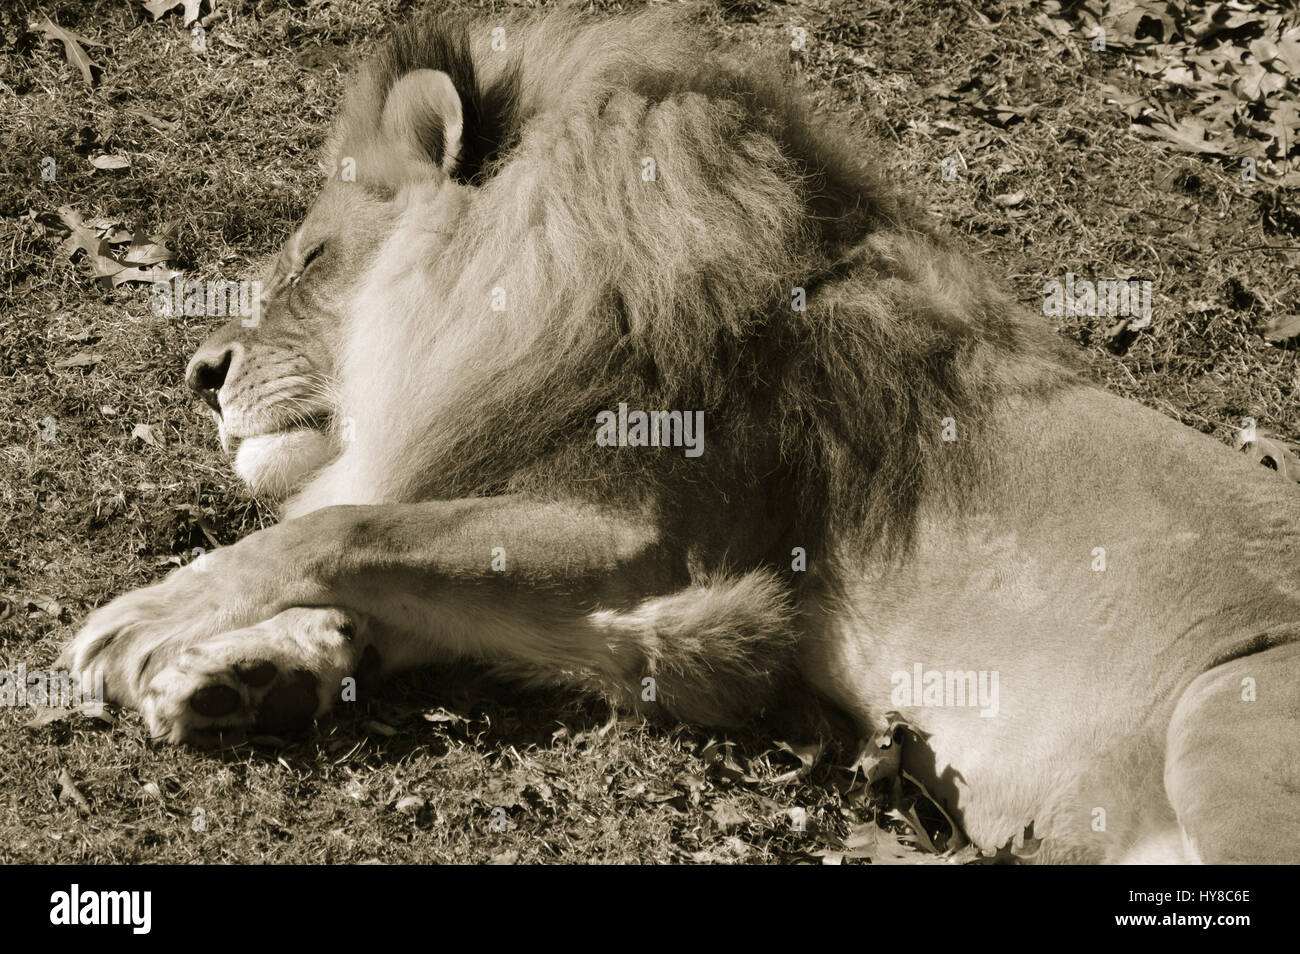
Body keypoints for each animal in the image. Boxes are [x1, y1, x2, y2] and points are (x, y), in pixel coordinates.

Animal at [59, 7, 1300, 864]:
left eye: (314, 258)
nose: (198, 374)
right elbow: (385, 588)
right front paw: (248, 673)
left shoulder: (651, 534)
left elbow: (344, 528)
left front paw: (144, 623)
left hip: (1220, 716)